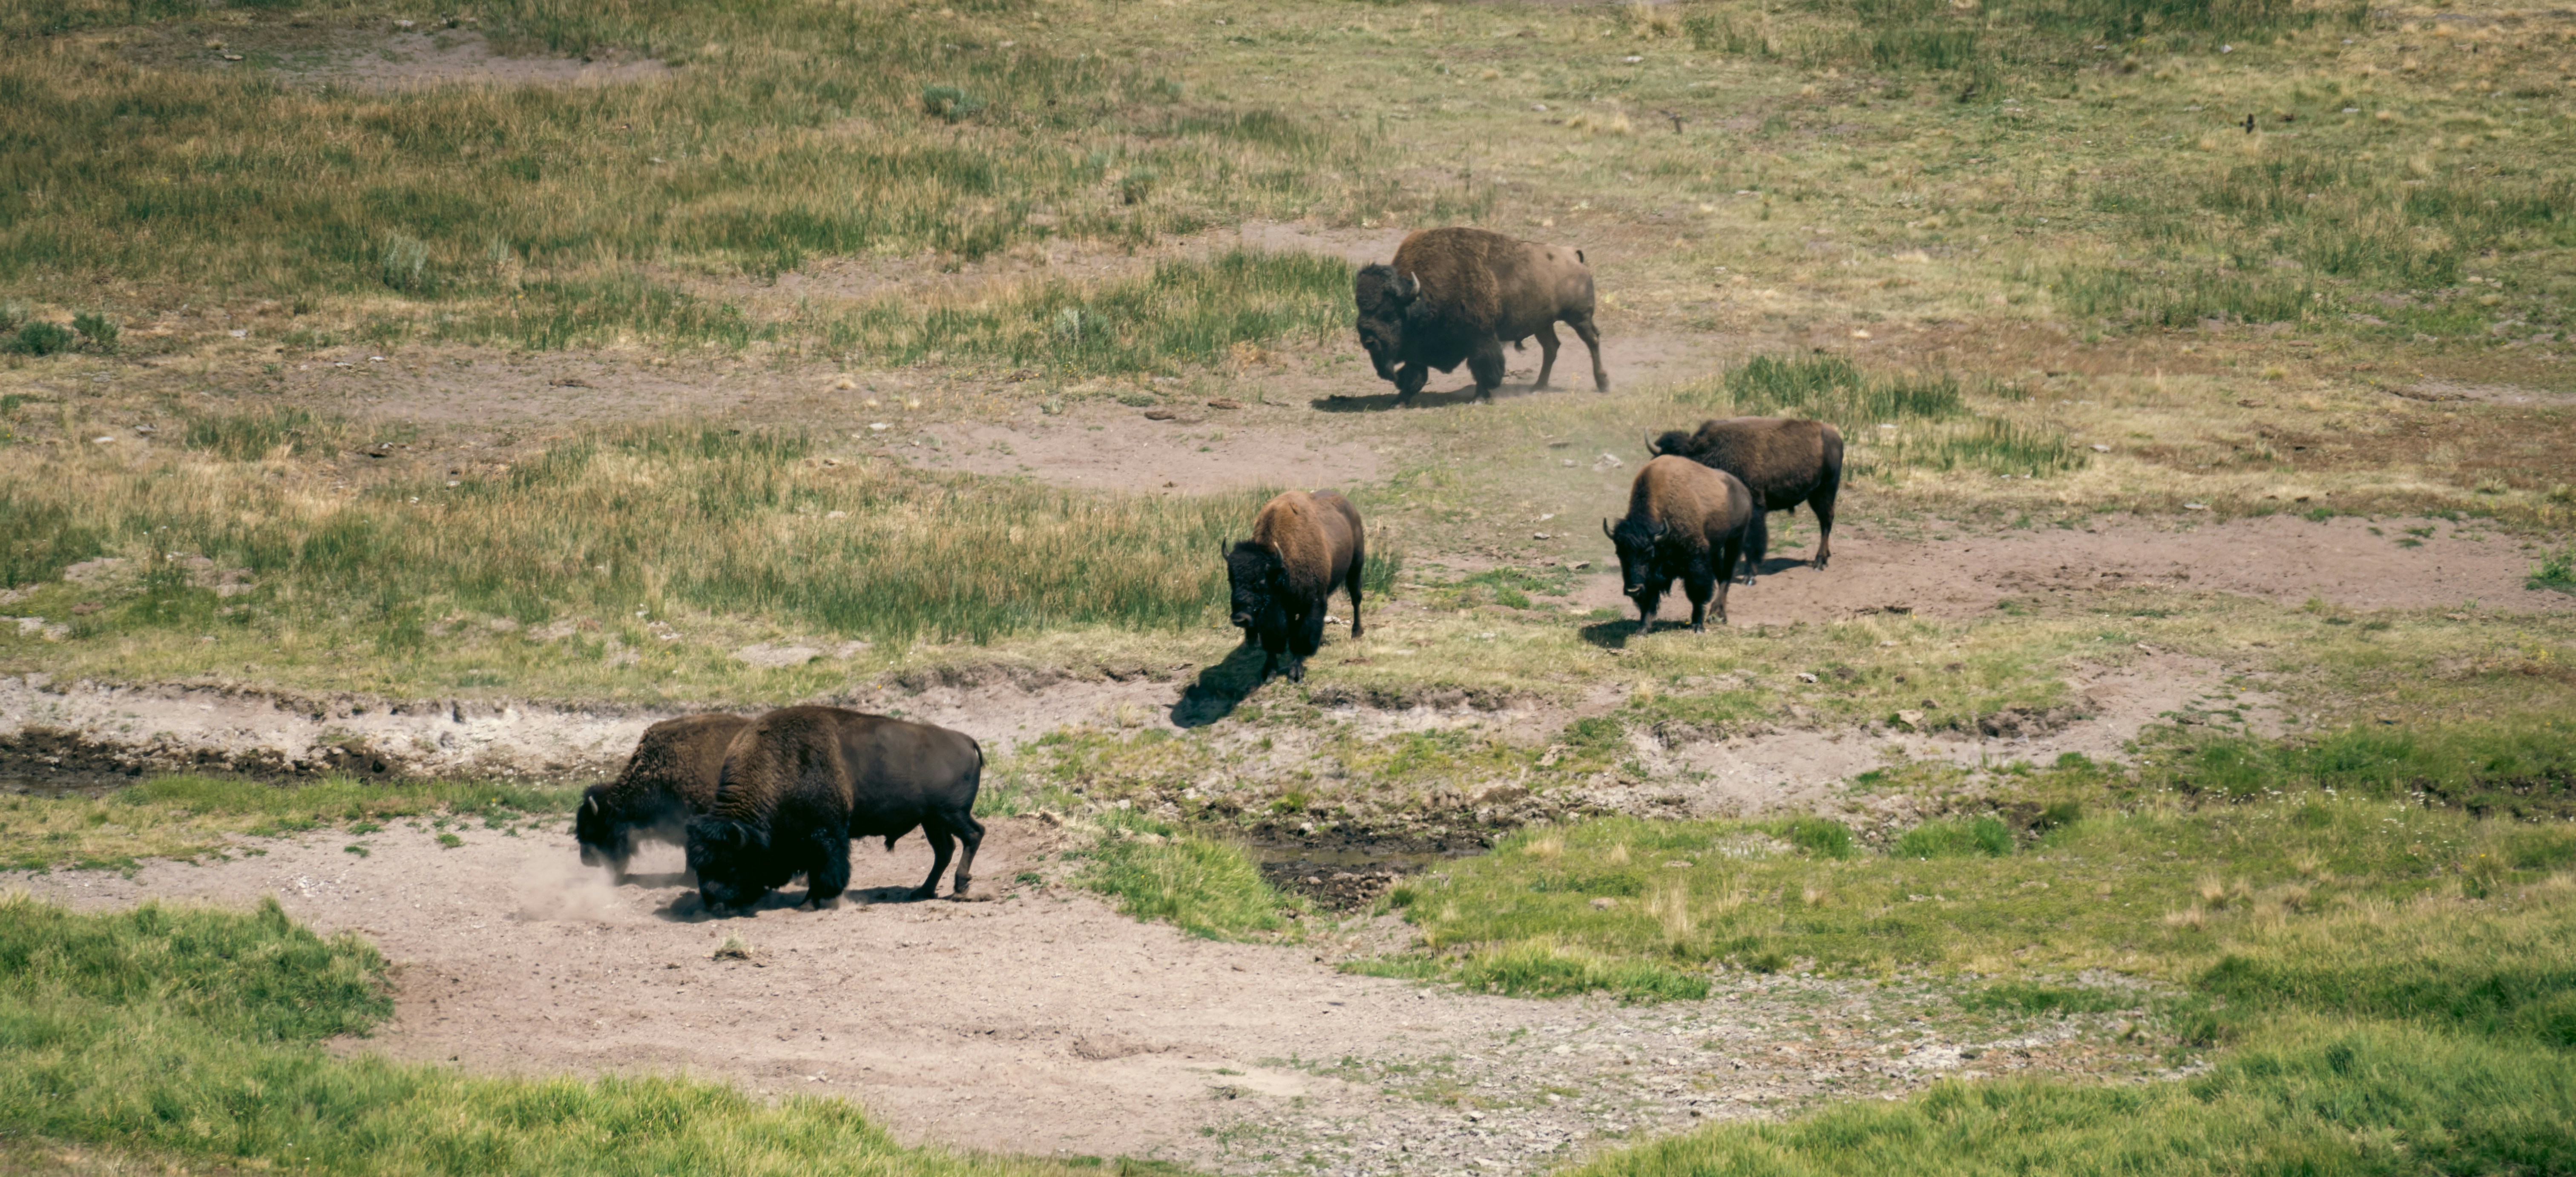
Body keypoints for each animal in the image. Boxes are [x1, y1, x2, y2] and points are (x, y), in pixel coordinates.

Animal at [686, 706, 983, 912]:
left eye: (730, 864)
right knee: (945, 850)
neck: (775, 769)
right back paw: (922, 892)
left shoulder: (825, 834)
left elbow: (824, 870)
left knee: (973, 835)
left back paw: (960, 889)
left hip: (952, 814)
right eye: (698, 865)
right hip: (933, 820)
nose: (713, 904)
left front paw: (811, 903)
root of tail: (966, 740)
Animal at [1225, 489, 1365, 684]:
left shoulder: (1311, 604)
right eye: (1230, 581)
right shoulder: (1273, 616)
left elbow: (1302, 636)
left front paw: (1296, 674)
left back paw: (1356, 633)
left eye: (1261, 582)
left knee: (1356, 598)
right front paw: (1268, 672)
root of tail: (1351, 508)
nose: (1240, 619)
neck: (1280, 570)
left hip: (1356, 566)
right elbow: (1273, 640)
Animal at [1353, 227, 1606, 404]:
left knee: (1592, 341)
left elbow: (1483, 368)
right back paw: (1538, 387)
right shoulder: (1419, 348)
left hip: (1579, 318)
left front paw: (1480, 398)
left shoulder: (1480, 339)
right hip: (1543, 325)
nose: (1368, 340)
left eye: (1388, 313)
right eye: (1361, 309)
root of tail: (1572, 254)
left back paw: (1603, 384)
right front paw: (1400, 401)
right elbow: (1416, 375)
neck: (1421, 296)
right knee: (1551, 348)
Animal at [1603, 456, 1757, 634]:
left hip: (1735, 541)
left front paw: (1698, 626)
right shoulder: (1651, 577)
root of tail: (1743, 490)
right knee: (1721, 578)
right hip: (1715, 551)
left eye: (1649, 552)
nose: (1632, 590)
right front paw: (1642, 629)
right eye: (1619, 553)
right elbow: (1649, 599)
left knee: (1726, 577)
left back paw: (1717, 615)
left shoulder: (1695, 560)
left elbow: (1697, 593)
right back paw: (1721, 615)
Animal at [1644, 417, 1844, 576]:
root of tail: (1836, 436)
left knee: (1826, 522)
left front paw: (1750, 570)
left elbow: (1752, 539)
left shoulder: (1755, 508)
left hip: (1825, 491)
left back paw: (1819, 562)